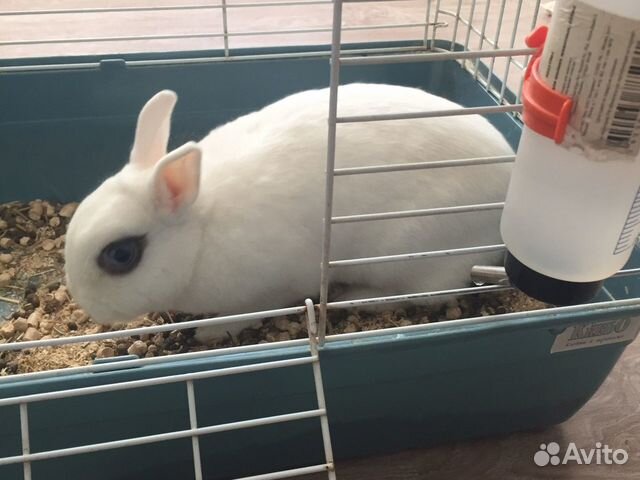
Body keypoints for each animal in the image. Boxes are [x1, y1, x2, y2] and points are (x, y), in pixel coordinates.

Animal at [64, 83, 513, 342]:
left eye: (121, 255)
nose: (88, 306)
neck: (201, 231)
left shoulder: (270, 290)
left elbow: (246, 314)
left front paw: (209, 331)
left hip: (409, 250)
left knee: (425, 293)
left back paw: (351, 297)